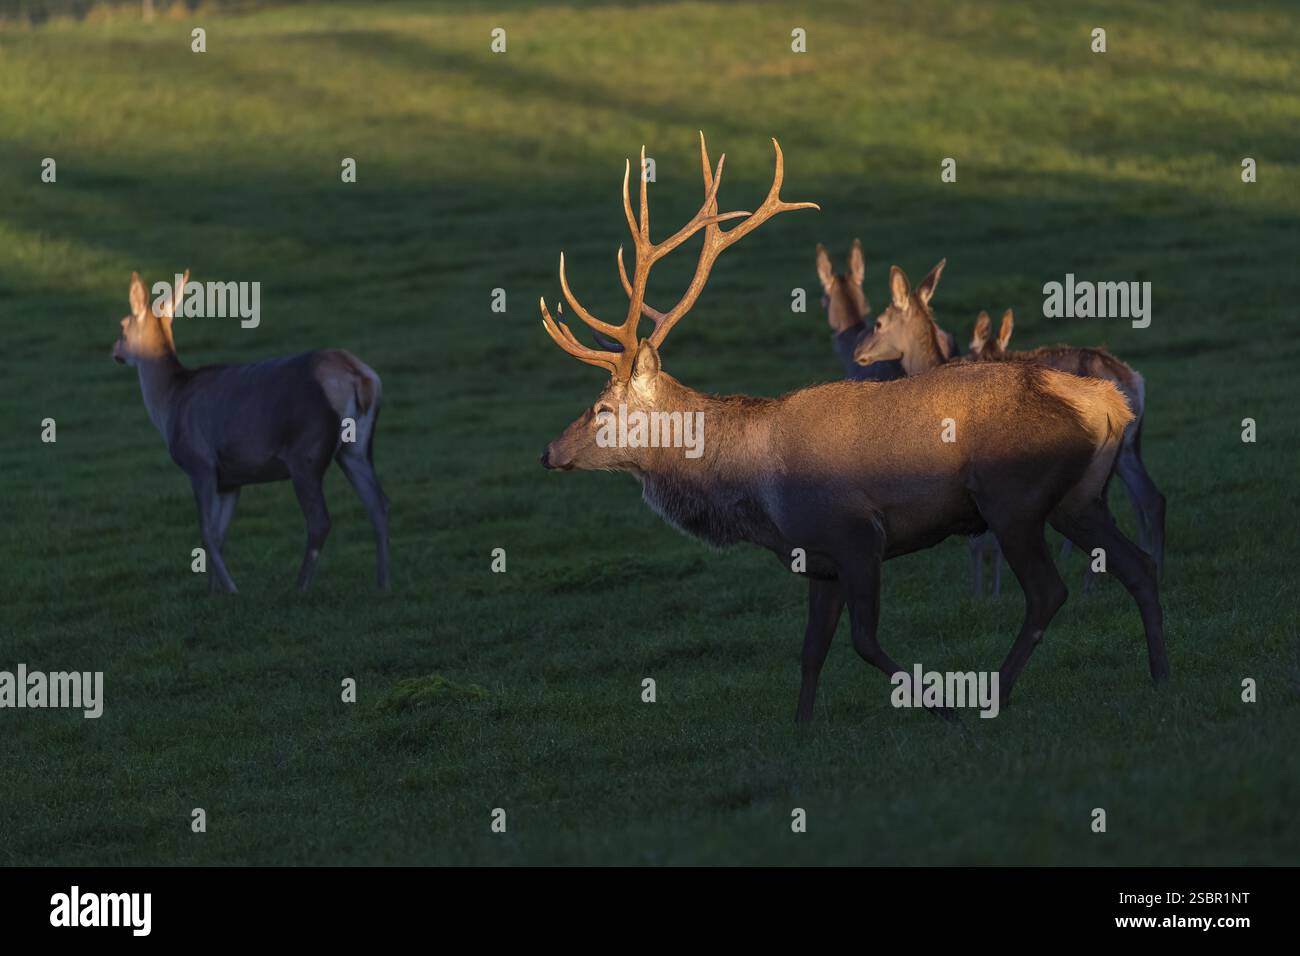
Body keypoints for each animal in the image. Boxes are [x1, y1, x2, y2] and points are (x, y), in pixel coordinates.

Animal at [111, 272, 390, 593]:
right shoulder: (232, 478)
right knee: (378, 504)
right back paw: (383, 584)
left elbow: (206, 533)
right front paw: (214, 594)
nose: (114, 350)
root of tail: (361, 377)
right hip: (356, 447)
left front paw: (231, 590)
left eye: (122, 325)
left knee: (320, 520)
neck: (170, 403)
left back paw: (299, 587)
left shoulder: (200, 462)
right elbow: (220, 535)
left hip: (306, 449)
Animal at [858, 294, 1165, 580]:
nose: (859, 352)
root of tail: (1133, 382)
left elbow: (981, 538)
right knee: (1147, 497)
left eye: (879, 323)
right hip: (1125, 450)